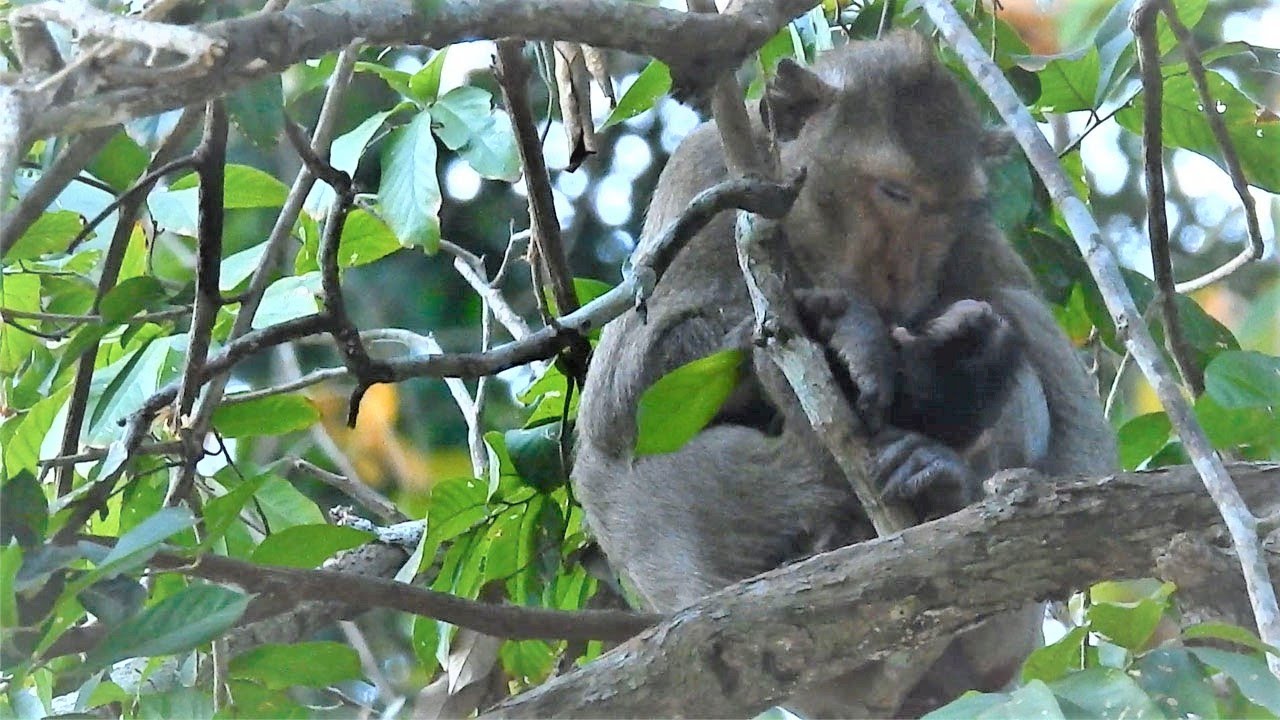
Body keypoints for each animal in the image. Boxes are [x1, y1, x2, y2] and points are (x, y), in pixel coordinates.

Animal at [572, 32, 1117, 717]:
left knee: (1014, 324)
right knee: (614, 470)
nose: (901, 278)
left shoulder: (971, 235)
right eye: (895, 194)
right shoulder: (703, 177)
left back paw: (945, 471)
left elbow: (1084, 457)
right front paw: (860, 334)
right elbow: (615, 406)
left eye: (948, 208)